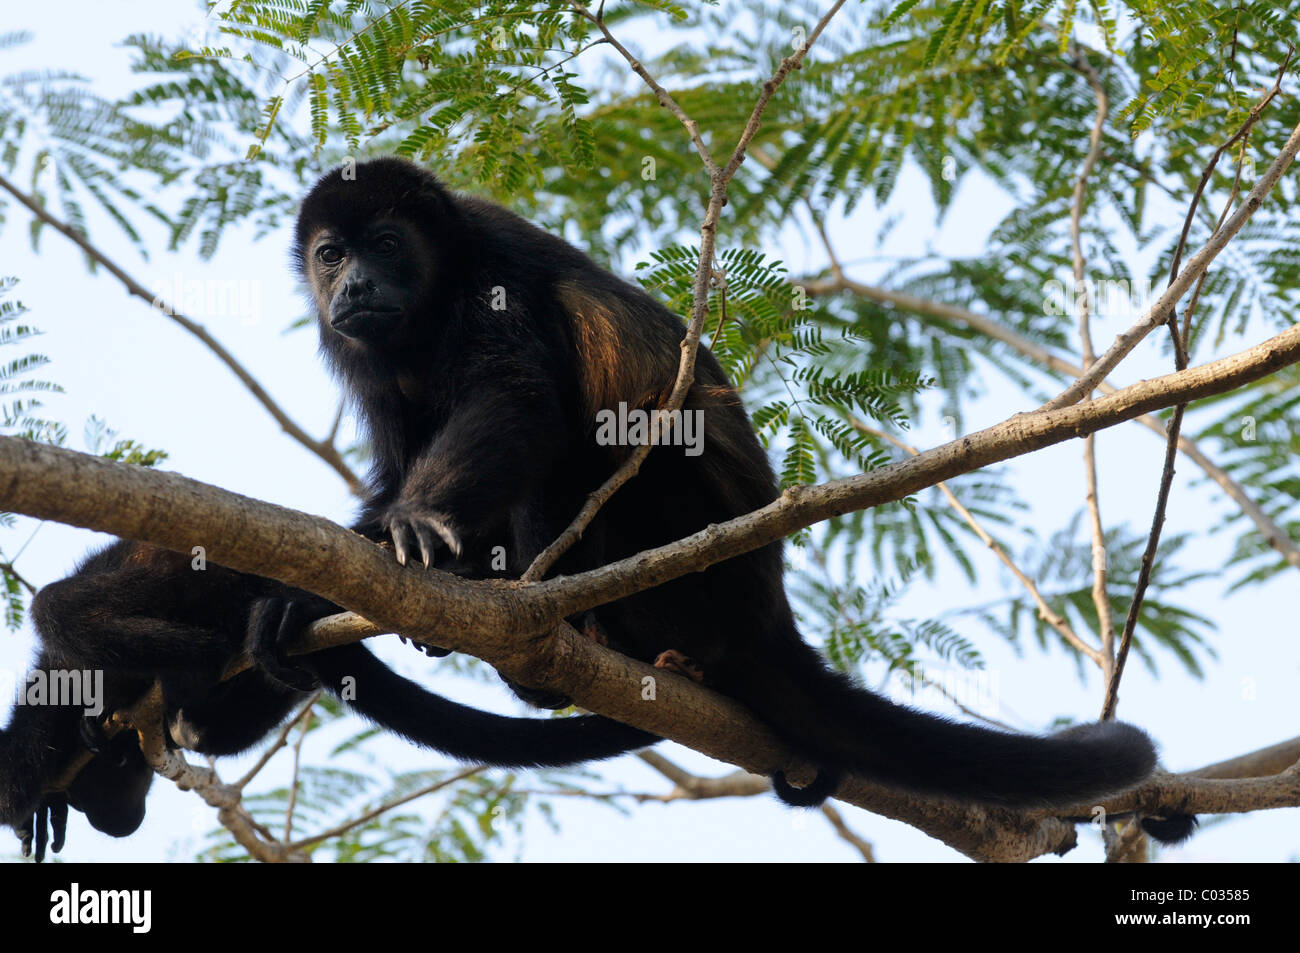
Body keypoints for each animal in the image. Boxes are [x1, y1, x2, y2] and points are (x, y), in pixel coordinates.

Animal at [287, 156, 1197, 846]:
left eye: (386, 243)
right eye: (331, 253)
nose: (354, 283)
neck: (429, 305)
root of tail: (768, 609)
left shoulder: (493, 274)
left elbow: (517, 397)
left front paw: (422, 524)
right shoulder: (367, 358)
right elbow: (393, 465)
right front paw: (326, 571)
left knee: (601, 443)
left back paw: (565, 622)